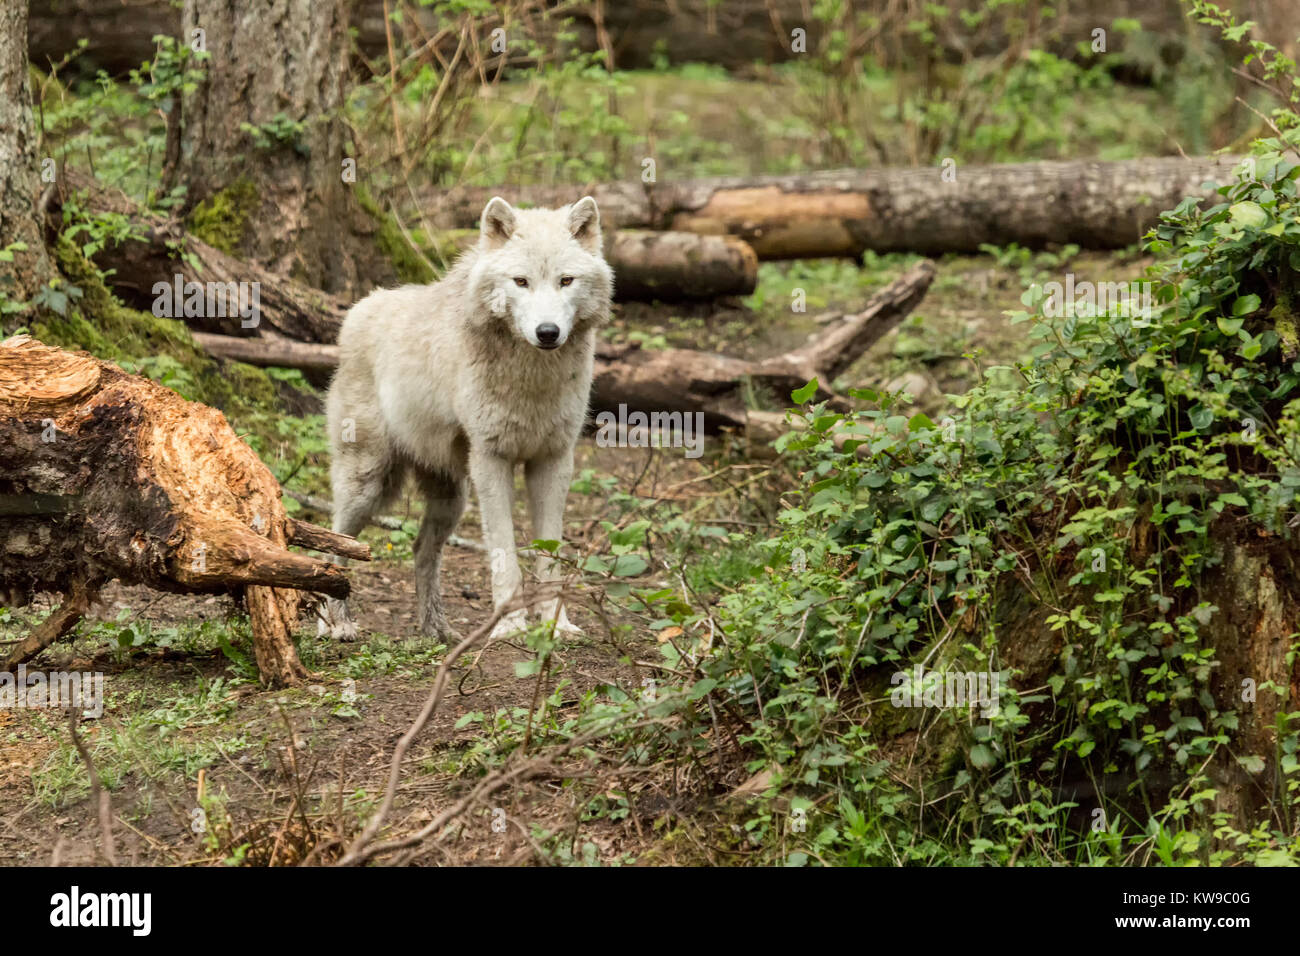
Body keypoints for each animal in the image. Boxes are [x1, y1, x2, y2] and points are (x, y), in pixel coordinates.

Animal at [318, 195, 613, 642]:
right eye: (521, 281)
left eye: (566, 281)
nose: (547, 332)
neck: (532, 379)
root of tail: (359, 307)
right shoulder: (492, 460)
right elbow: (504, 554)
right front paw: (510, 627)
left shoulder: (554, 460)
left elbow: (550, 555)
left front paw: (555, 626)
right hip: (367, 485)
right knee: (332, 542)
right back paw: (335, 626)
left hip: (451, 497)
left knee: (421, 549)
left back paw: (436, 631)